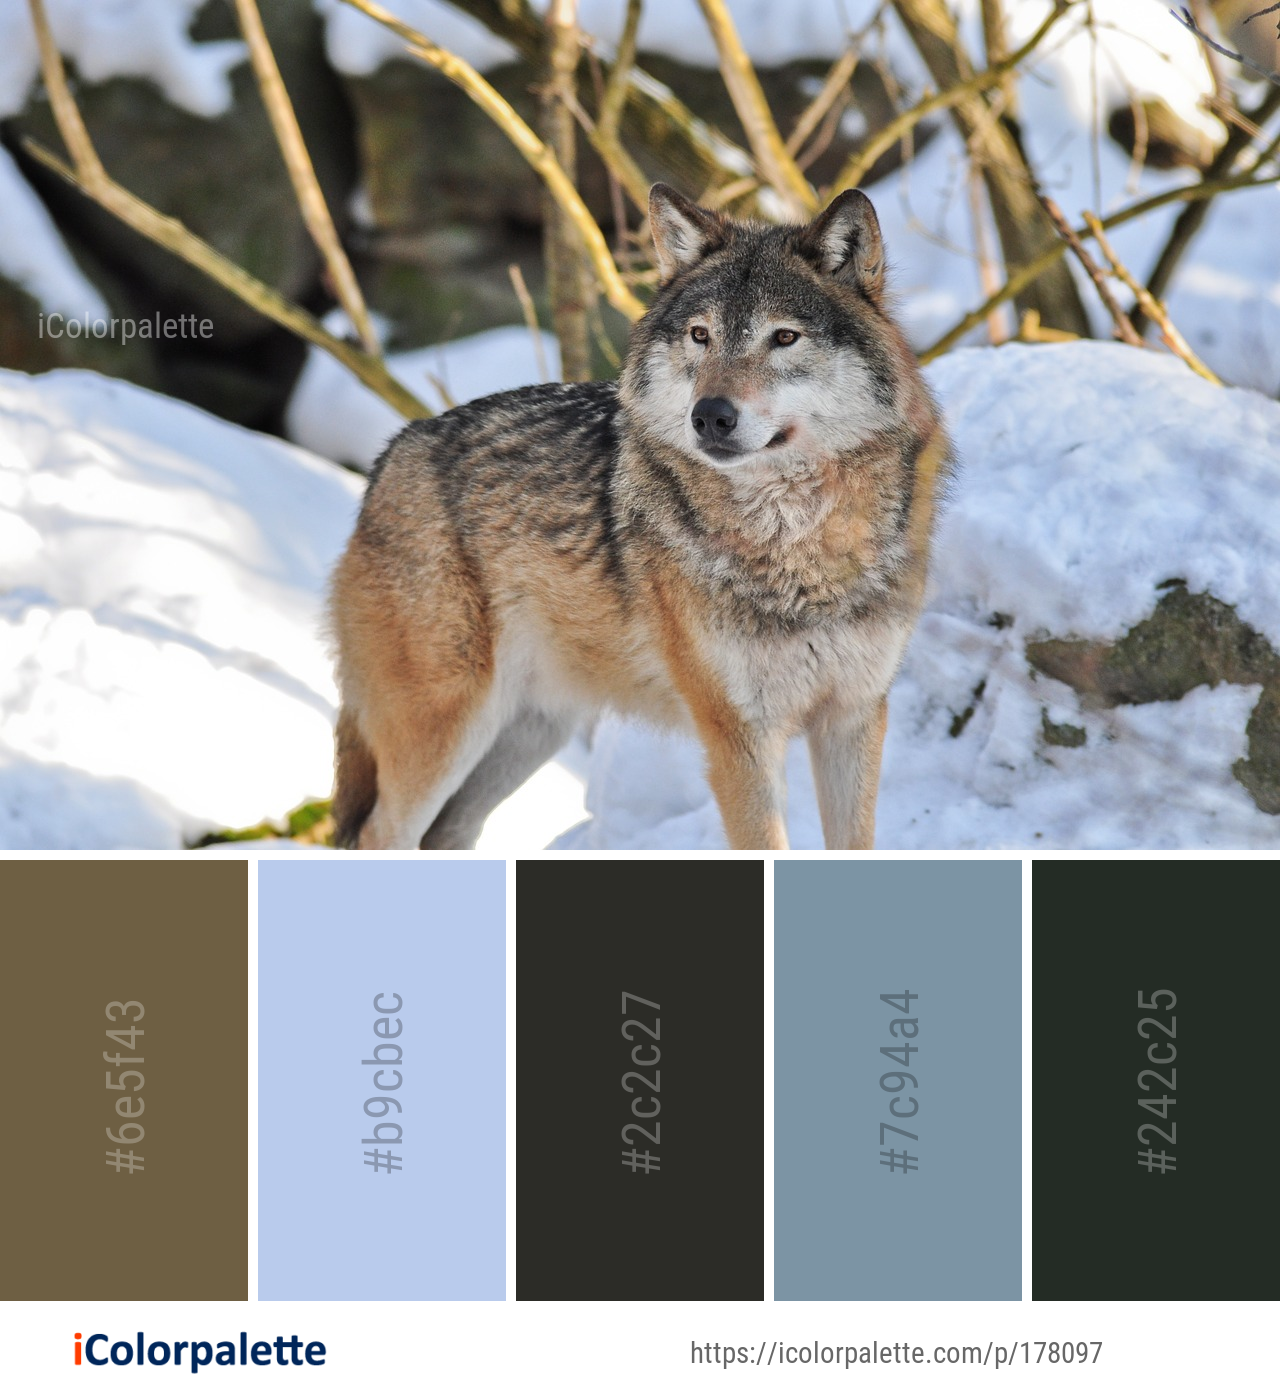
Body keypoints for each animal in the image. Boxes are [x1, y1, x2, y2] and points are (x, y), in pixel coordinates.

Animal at [328, 183, 952, 850]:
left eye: (784, 338)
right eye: (701, 335)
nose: (710, 415)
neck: (797, 544)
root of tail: (393, 452)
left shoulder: (853, 718)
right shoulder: (738, 737)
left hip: (526, 736)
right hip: (447, 729)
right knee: (377, 835)